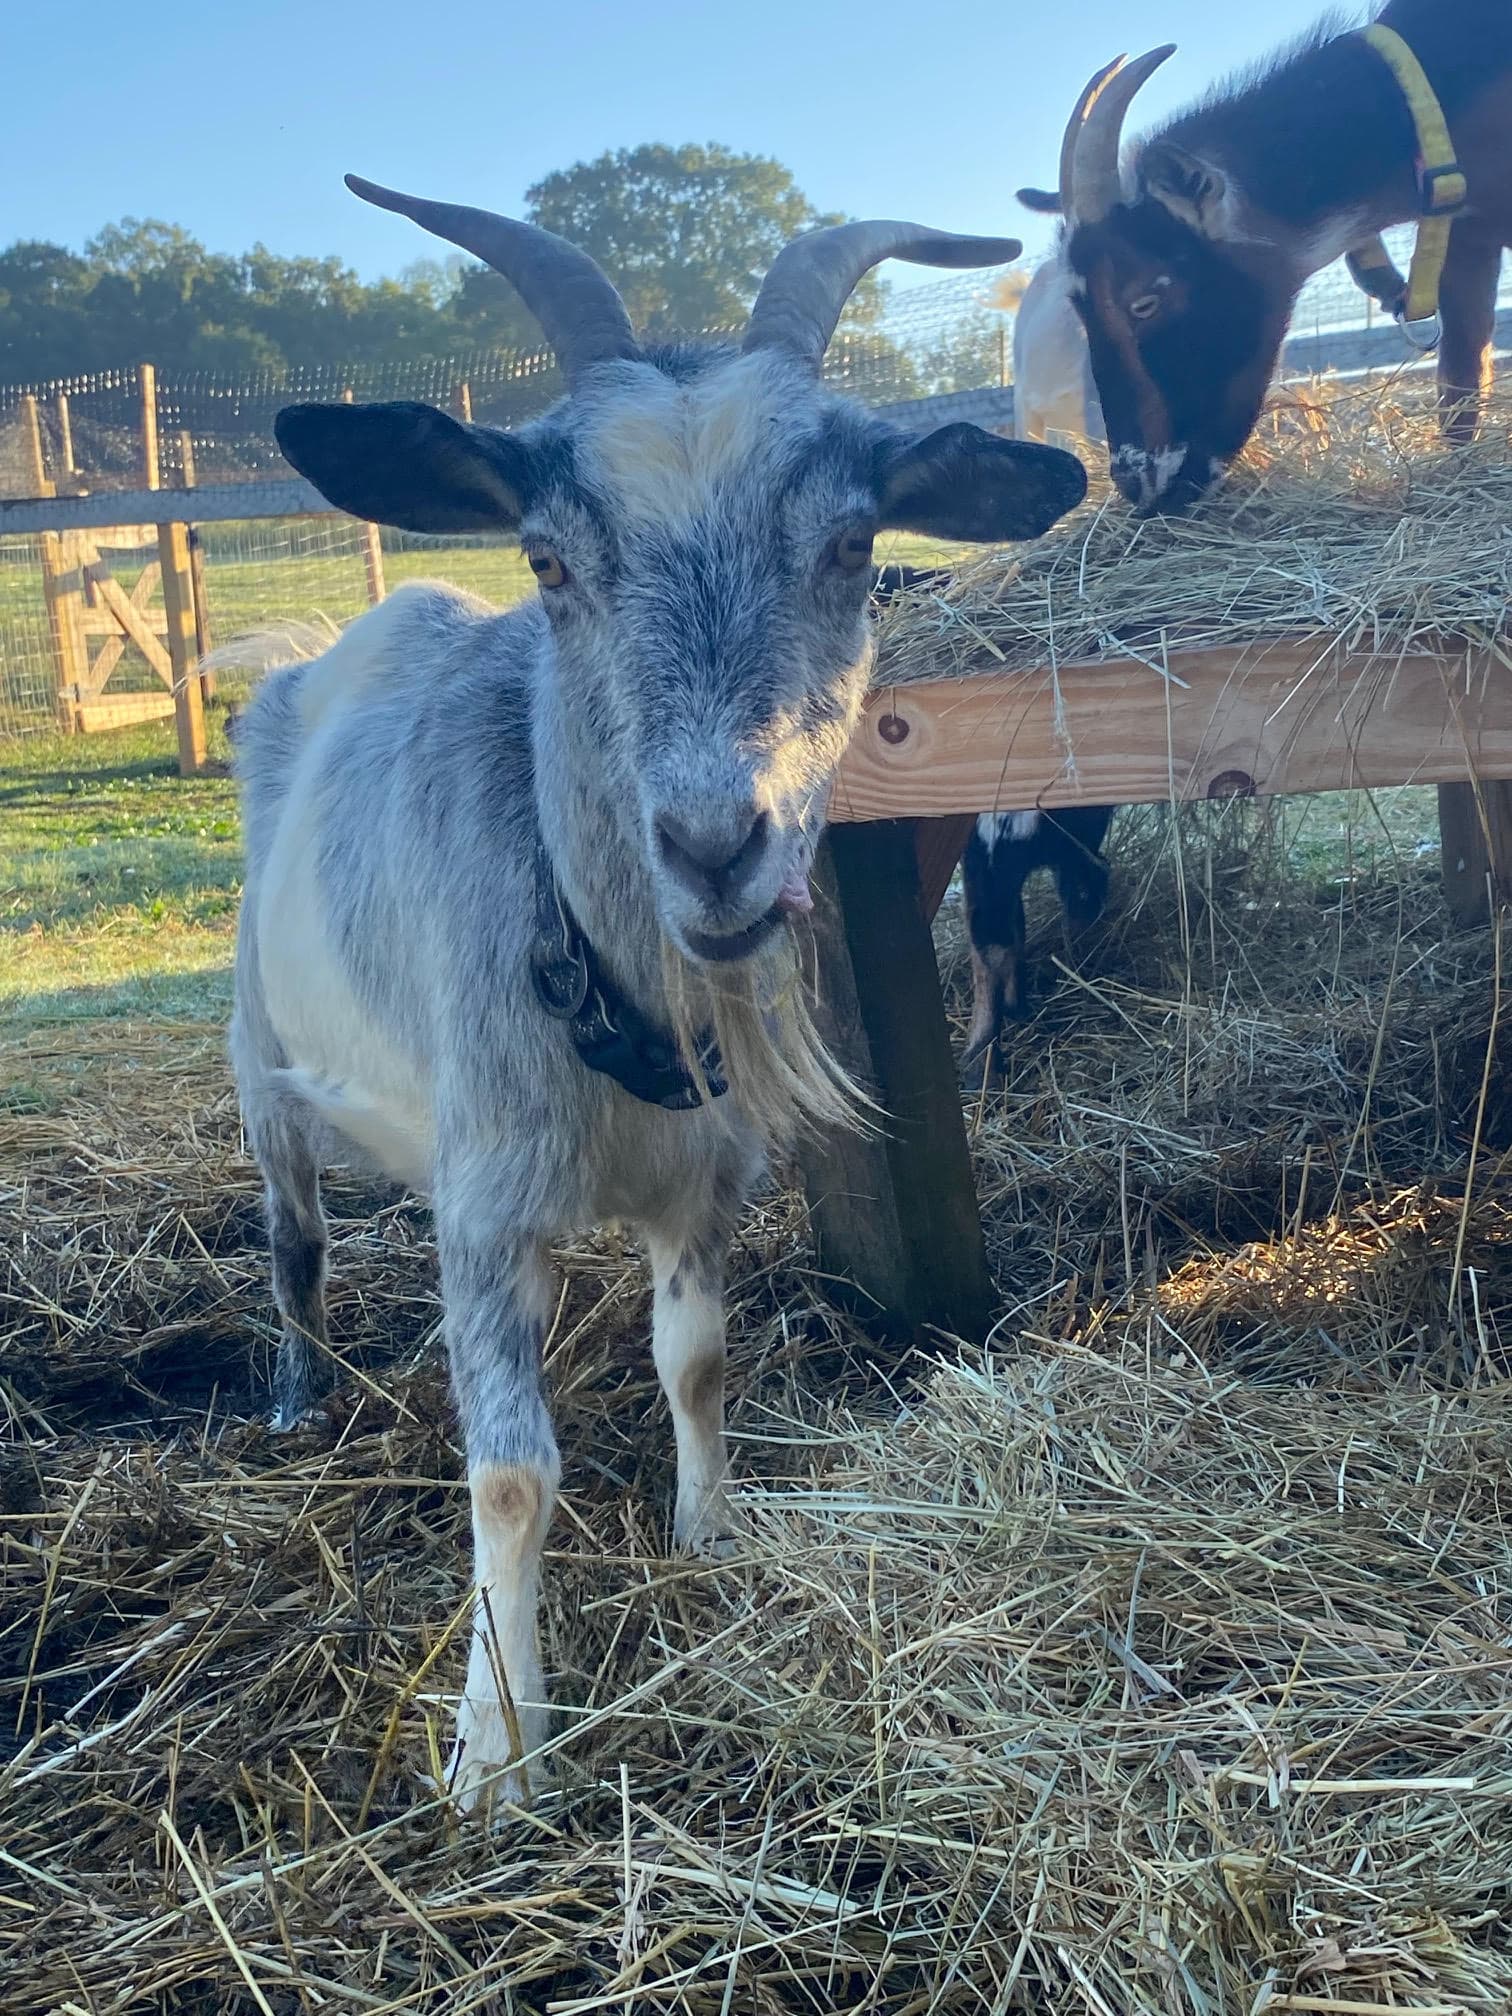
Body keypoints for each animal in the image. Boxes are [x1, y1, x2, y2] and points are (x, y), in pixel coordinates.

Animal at [232, 175, 1086, 1816]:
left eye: (855, 547)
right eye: (550, 562)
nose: (712, 843)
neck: (605, 991)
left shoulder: (706, 1176)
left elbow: (696, 1361)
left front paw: (712, 1534)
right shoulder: (481, 1200)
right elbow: (509, 1471)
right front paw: (494, 1749)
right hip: (261, 1066)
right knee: (294, 1247)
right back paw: (299, 1391)